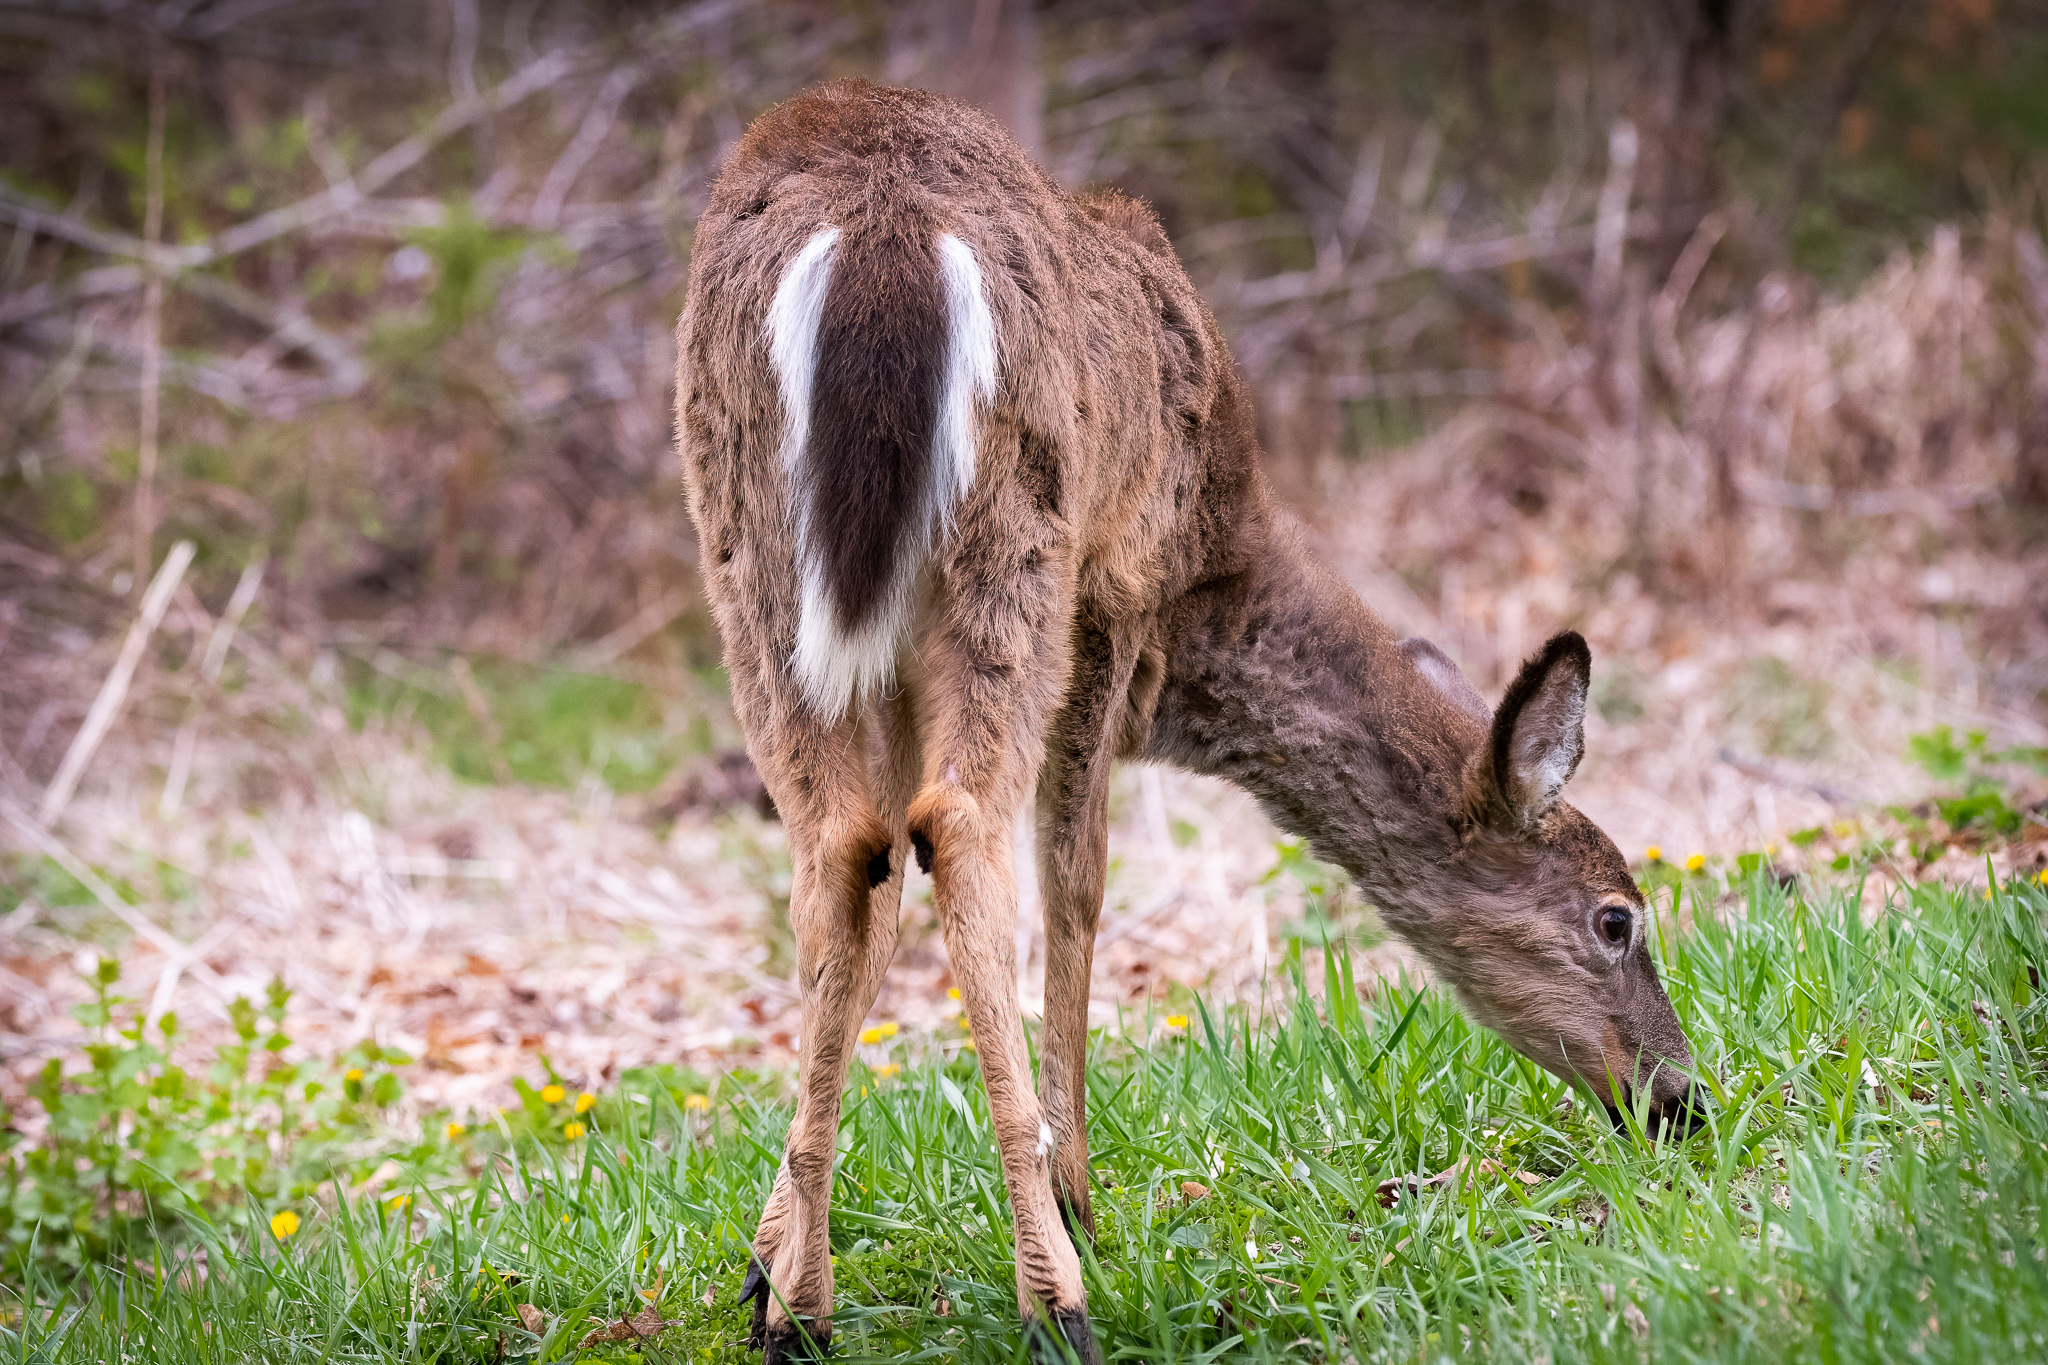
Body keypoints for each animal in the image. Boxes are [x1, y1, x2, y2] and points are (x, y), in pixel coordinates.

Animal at [675, 78, 1701, 1364]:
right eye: (1614, 918)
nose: (1678, 1098)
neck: (1210, 598)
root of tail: (876, 234)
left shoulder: (897, 662)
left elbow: (868, 921)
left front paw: (763, 1265)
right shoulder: (1115, 591)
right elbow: (1075, 881)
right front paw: (1075, 1201)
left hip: (747, 544)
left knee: (839, 844)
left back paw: (803, 1316)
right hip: (1020, 534)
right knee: (962, 830)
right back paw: (1051, 1294)